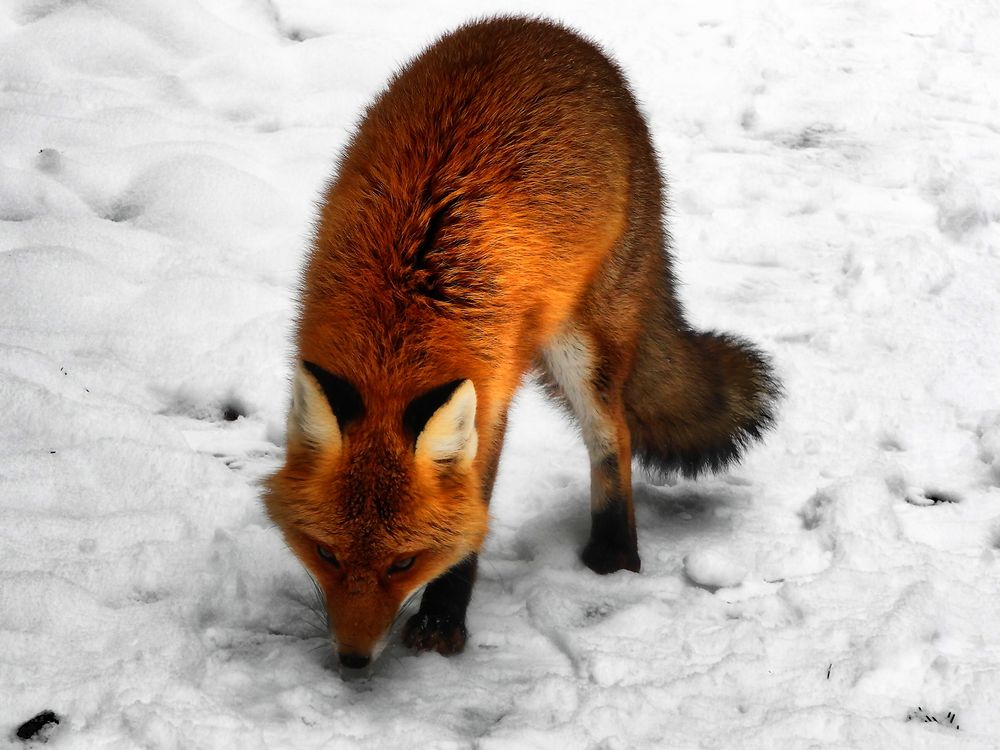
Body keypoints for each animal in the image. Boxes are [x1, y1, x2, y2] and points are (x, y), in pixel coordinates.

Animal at [264, 16, 780, 671]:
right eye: (326, 553)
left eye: (404, 563)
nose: (354, 661)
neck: (395, 338)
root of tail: (549, 29)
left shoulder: (491, 400)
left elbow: (474, 512)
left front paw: (442, 620)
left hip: (580, 350)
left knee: (615, 436)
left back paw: (614, 555)